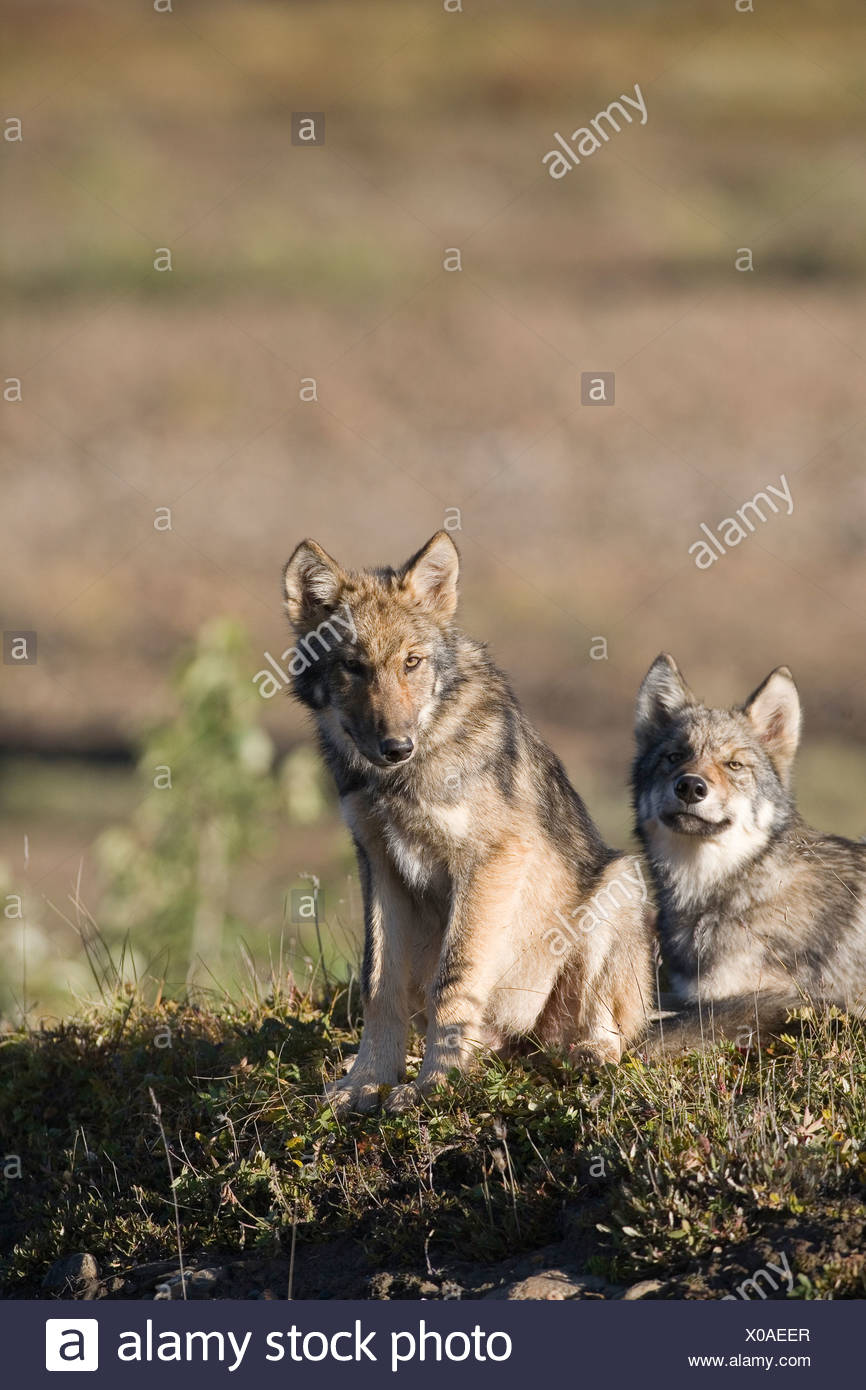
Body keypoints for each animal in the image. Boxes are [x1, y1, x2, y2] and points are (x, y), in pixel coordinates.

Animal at [282, 530, 654, 1112]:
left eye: (412, 662)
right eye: (353, 667)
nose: (396, 746)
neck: (403, 779)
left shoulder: (491, 859)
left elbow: (453, 982)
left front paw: (436, 1085)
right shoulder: (380, 865)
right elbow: (377, 985)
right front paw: (368, 1080)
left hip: (620, 882)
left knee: (605, 1029)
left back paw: (588, 1053)